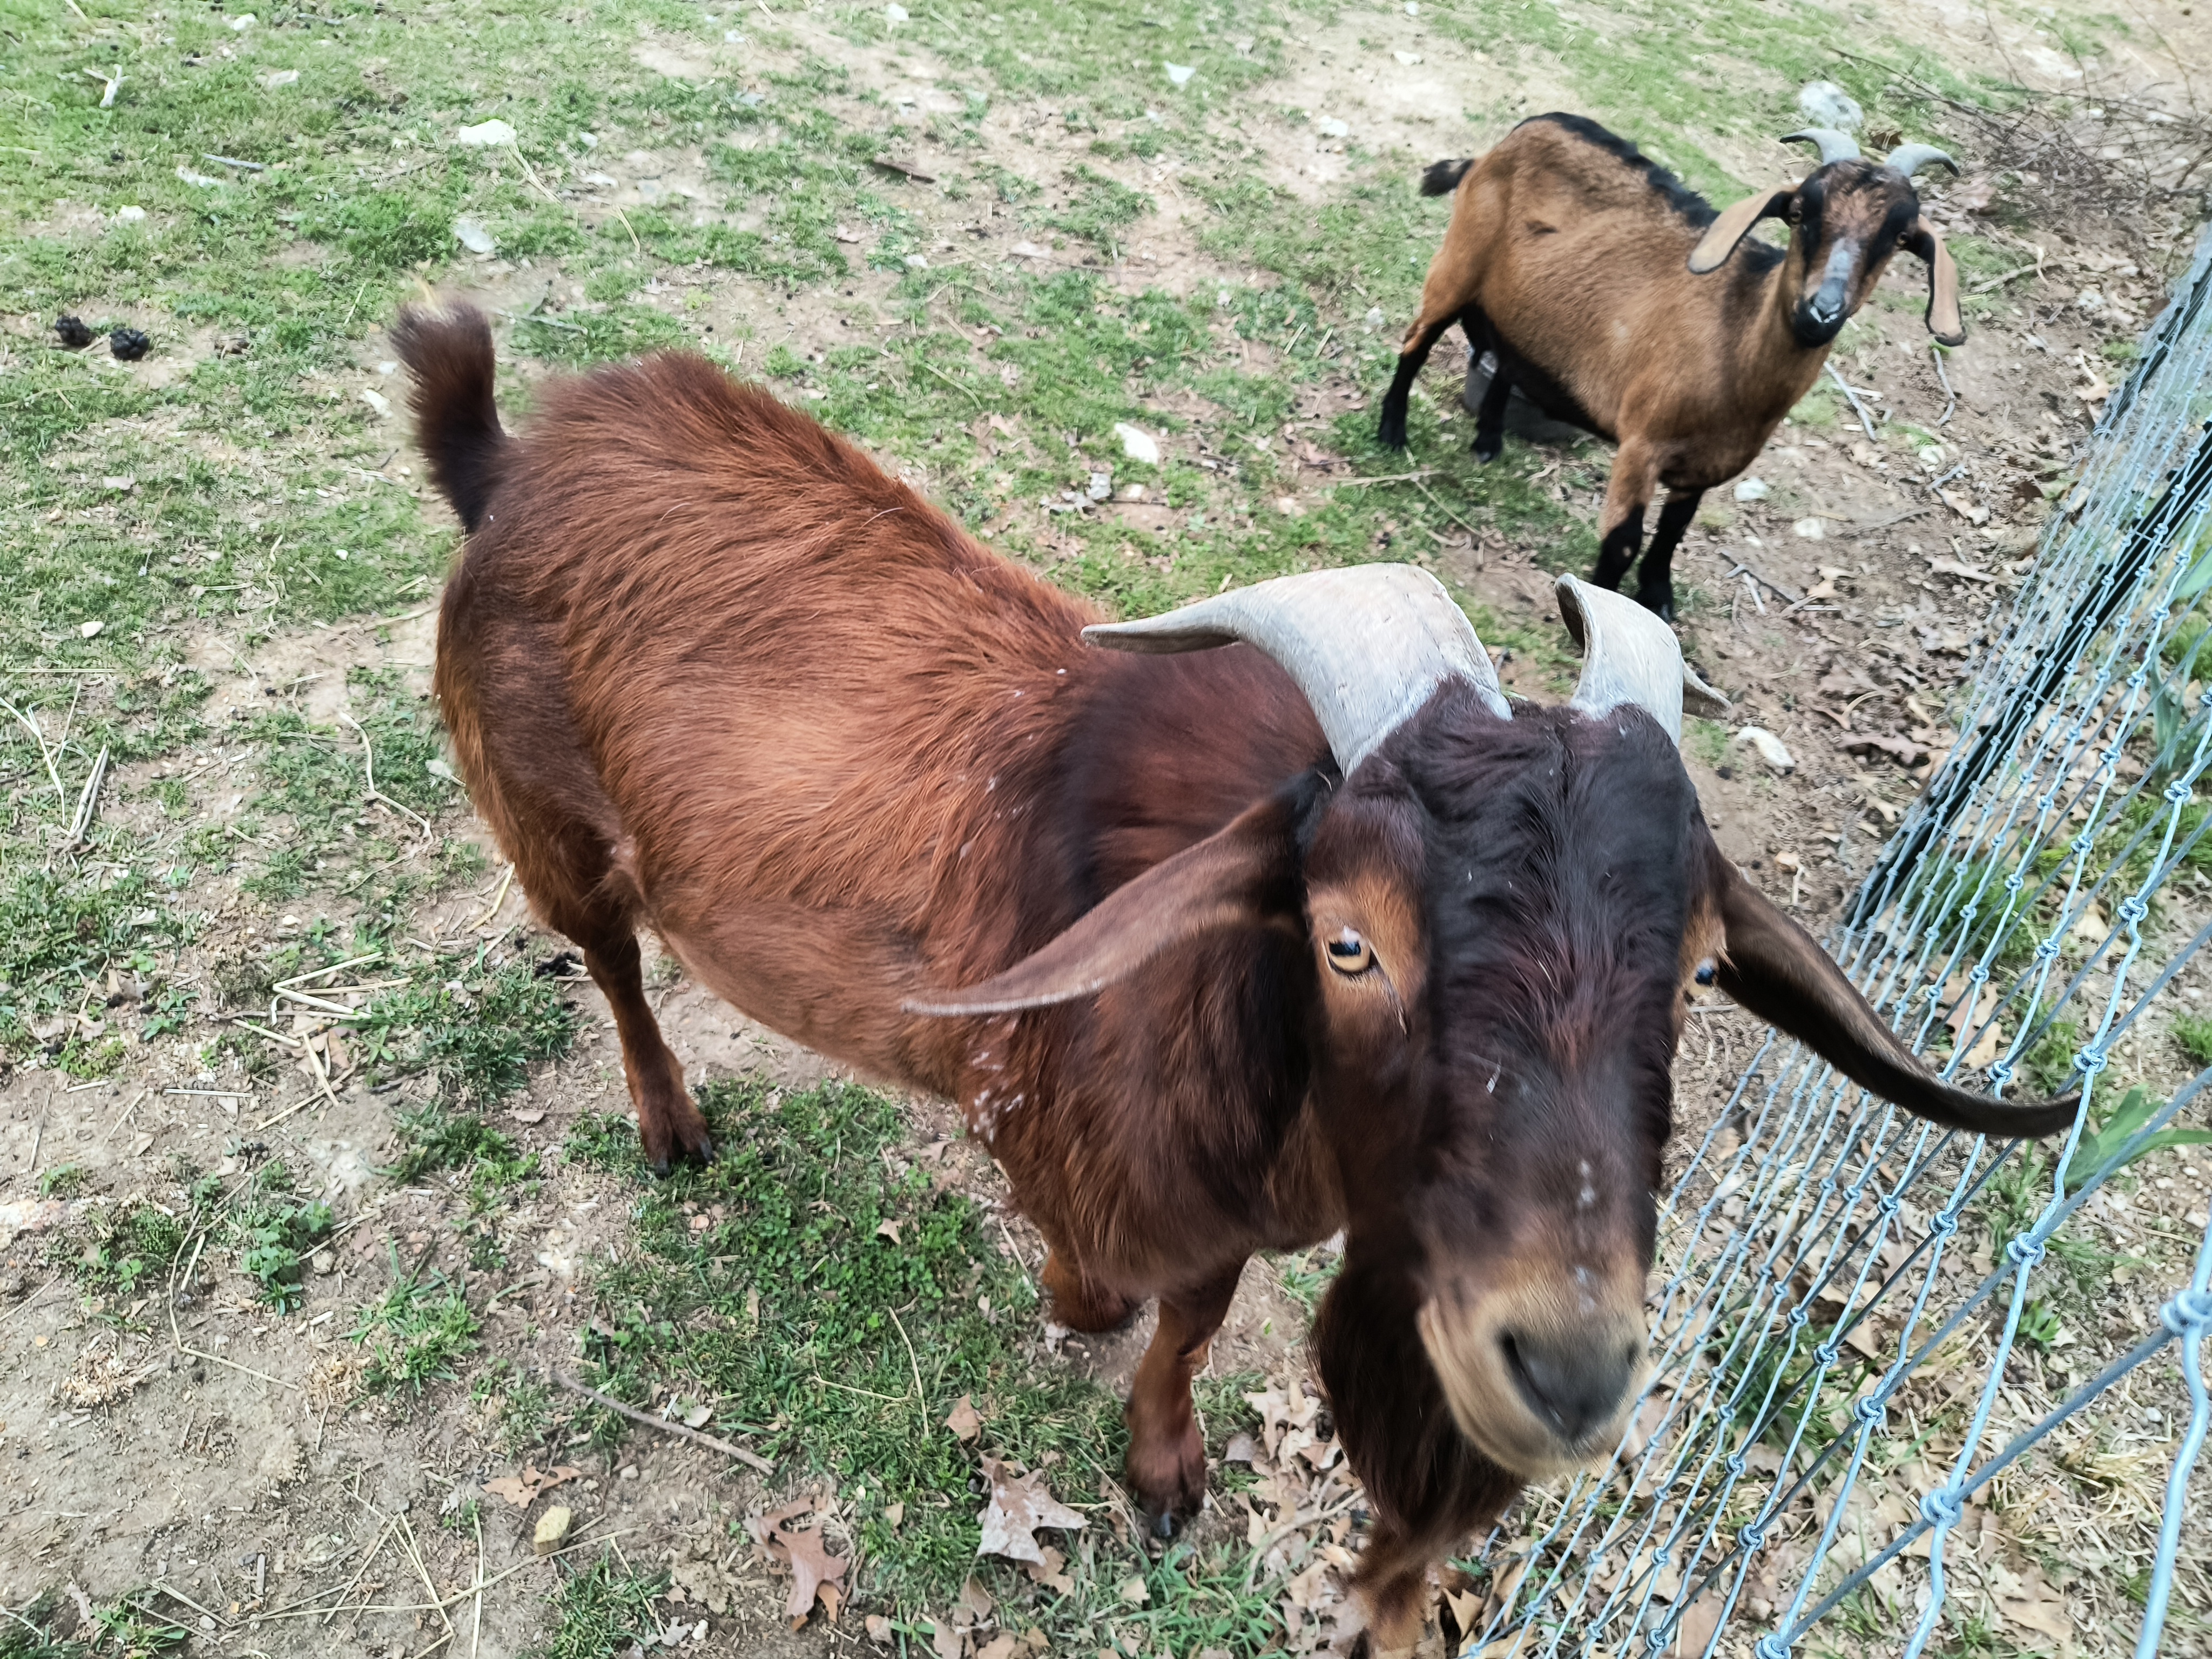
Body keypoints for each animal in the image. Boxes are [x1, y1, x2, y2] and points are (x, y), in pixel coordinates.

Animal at [394, 304, 2071, 1651]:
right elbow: (1123, 1280)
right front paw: (1092, 1338)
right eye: (1347, 938)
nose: (1568, 1367)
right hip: (547, 820)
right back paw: (669, 1120)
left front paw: (1158, 1454)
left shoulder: (1227, 1211)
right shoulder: (1086, 1139)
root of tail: (506, 460)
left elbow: (1192, 1318)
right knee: (611, 959)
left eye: (1700, 972)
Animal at [1378, 114, 1963, 620]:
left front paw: (1658, 597)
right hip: (1460, 261)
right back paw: (1392, 434)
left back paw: (1487, 441)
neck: (1734, 344)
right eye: (1800, 214)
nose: (1821, 311)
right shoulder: (1643, 443)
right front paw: (1604, 610)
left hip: (1526, 303)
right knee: (1417, 342)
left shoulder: (1705, 463)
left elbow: (1673, 533)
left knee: (1508, 354)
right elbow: (1623, 542)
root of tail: (1523, 130)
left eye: (1899, 238)